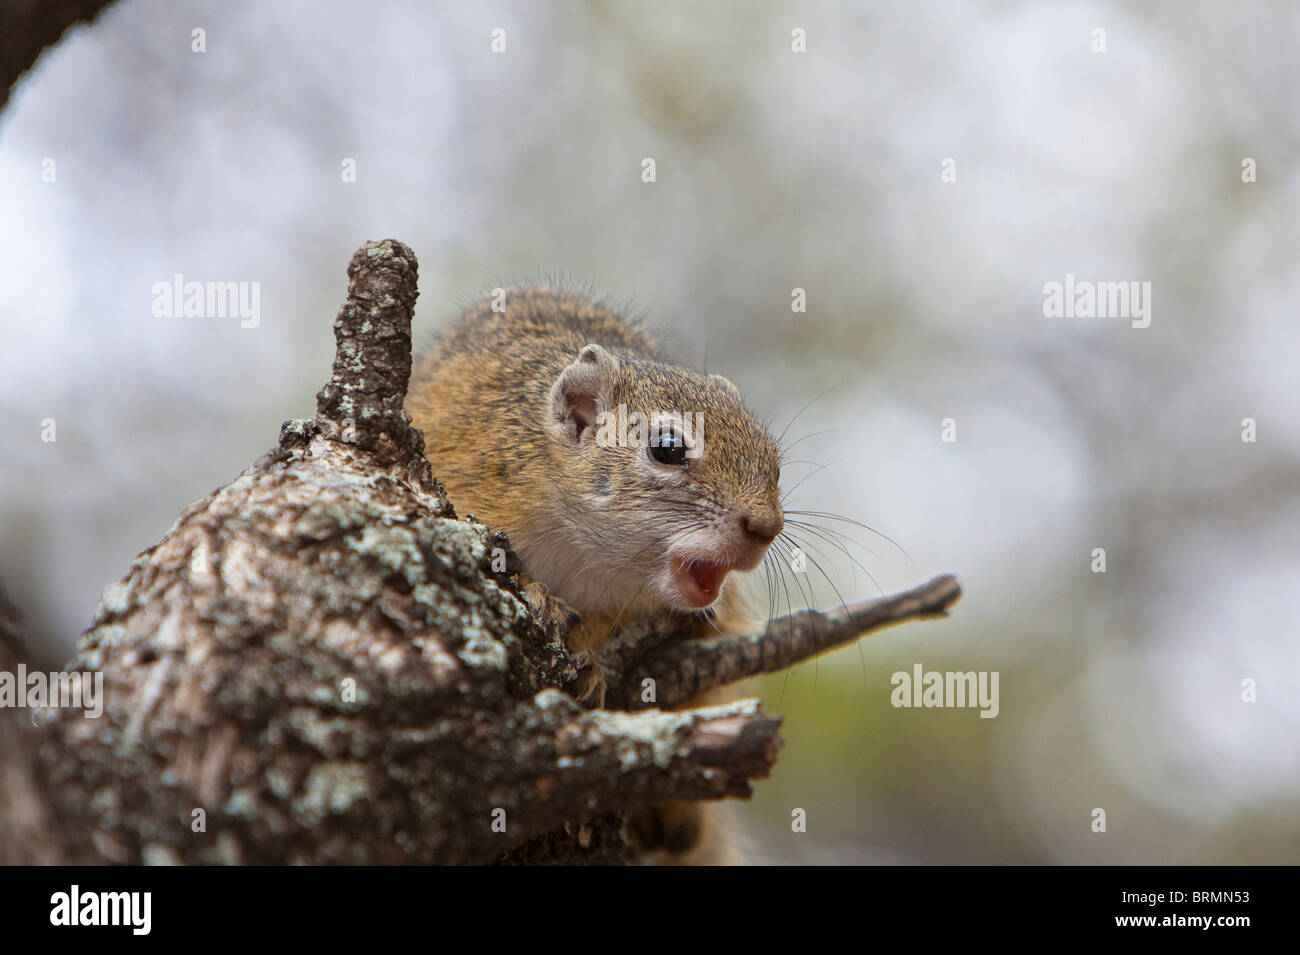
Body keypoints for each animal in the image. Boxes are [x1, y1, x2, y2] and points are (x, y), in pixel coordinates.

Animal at [406, 284, 784, 860]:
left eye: (774, 460)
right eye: (667, 447)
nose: (767, 527)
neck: (587, 549)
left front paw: (588, 655)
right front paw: (540, 596)